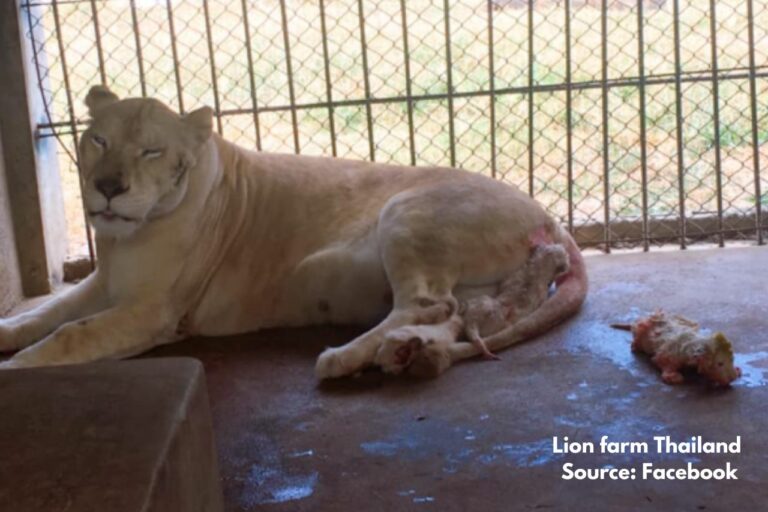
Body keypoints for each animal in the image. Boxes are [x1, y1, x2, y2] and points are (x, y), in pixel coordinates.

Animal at [0, 86, 588, 378]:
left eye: (151, 151)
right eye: (97, 140)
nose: (107, 187)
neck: (128, 236)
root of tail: (547, 213)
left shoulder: (157, 311)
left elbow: (72, 334)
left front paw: (16, 370)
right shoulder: (103, 283)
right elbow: (47, 314)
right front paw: (12, 332)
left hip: (406, 211)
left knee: (427, 304)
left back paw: (344, 358)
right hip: (476, 284)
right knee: (457, 316)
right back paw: (407, 354)